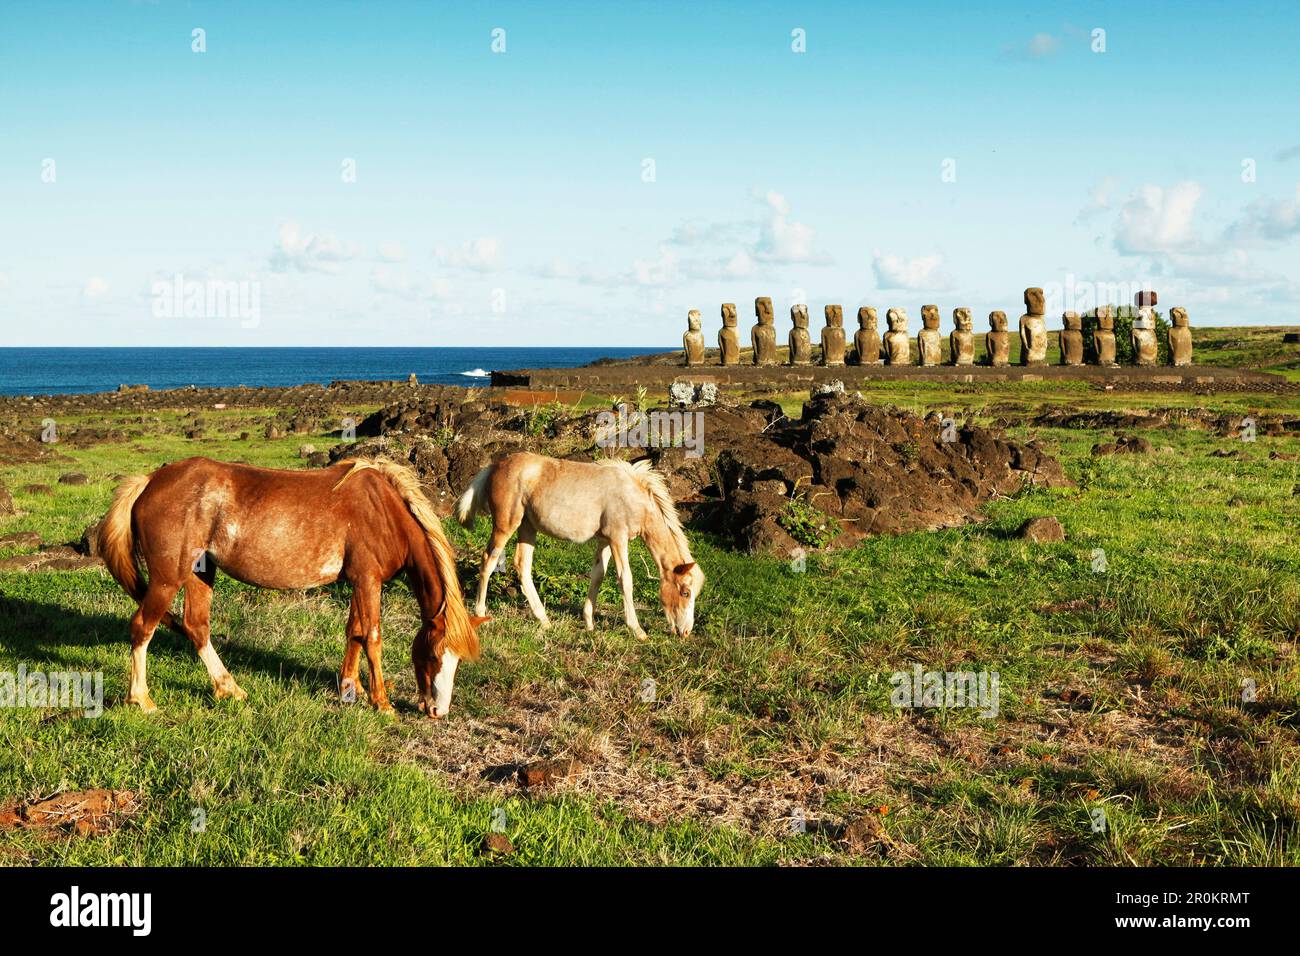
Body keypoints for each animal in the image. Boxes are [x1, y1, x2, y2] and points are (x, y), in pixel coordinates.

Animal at [95, 456, 486, 717]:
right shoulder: (368, 580)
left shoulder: (357, 582)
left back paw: (229, 687)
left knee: (196, 627)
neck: (384, 511)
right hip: (167, 578)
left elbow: (354, 632)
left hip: (199, 573)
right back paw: (141, 699)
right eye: (434, 655)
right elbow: (372, 637)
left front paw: (351, 686)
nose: (438, 711)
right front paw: (382, 702)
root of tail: (149, 480)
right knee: (143, 627)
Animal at [454, 453, 705, 639]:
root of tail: (496, 465)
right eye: (685, 592)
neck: (633, 496)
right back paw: (481, 613)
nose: (685, 632)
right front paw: (637, 630)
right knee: (489, 560)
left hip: (527, 527)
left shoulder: (604, 542)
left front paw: (589, 623)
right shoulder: (618, 539)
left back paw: (544, 620)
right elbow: (625, 579)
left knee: (522, 565)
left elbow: (598, 575)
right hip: (506, 525)